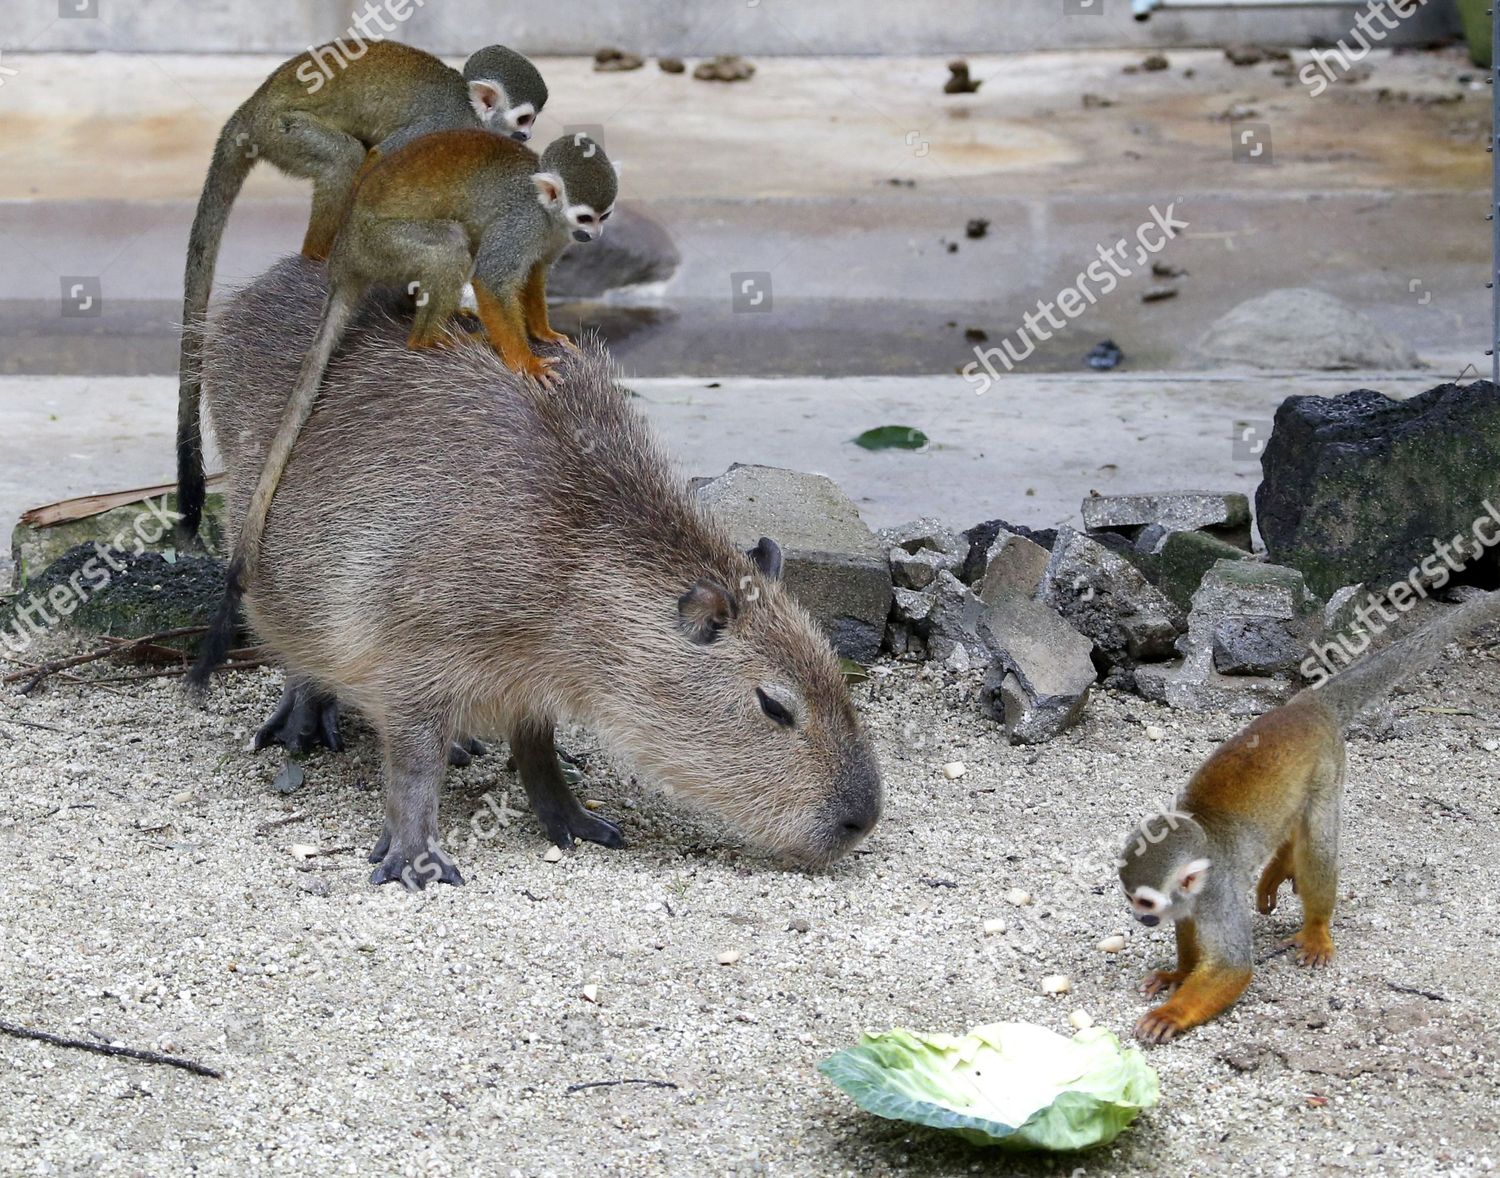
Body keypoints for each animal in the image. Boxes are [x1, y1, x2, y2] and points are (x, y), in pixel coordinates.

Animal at [175, 40, 548, 544]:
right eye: (524, 117)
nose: (528, 135)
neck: (469, 107)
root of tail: (248, 111)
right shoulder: (443, 122)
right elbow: (381, 163)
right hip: (283, 132)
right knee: (346, 157)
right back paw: (318, 254)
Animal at [186, 131, 619, 691]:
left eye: (602, 215)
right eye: (585, 215)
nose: (590, 236)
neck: (548, 215)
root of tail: (343, 263)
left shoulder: (548, 238)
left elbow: (534, 278)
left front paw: (544, 332)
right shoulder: (523, 227)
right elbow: (494, 280)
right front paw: (523, 358)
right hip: (385, 245)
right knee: (451, 242)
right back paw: (429, 338)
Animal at [1117, 588, 1500, 1043]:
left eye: (1146, 901)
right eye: (1131, 899)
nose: (1140, 918)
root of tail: (1308, 704)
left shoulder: (1216, 892)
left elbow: (1233, 967)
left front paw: (1171, 1013)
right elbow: (1190, 931)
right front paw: (1179, 974)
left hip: (1329, 766)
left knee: (1317, 838)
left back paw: (1317, 927)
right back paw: (1282, 863)